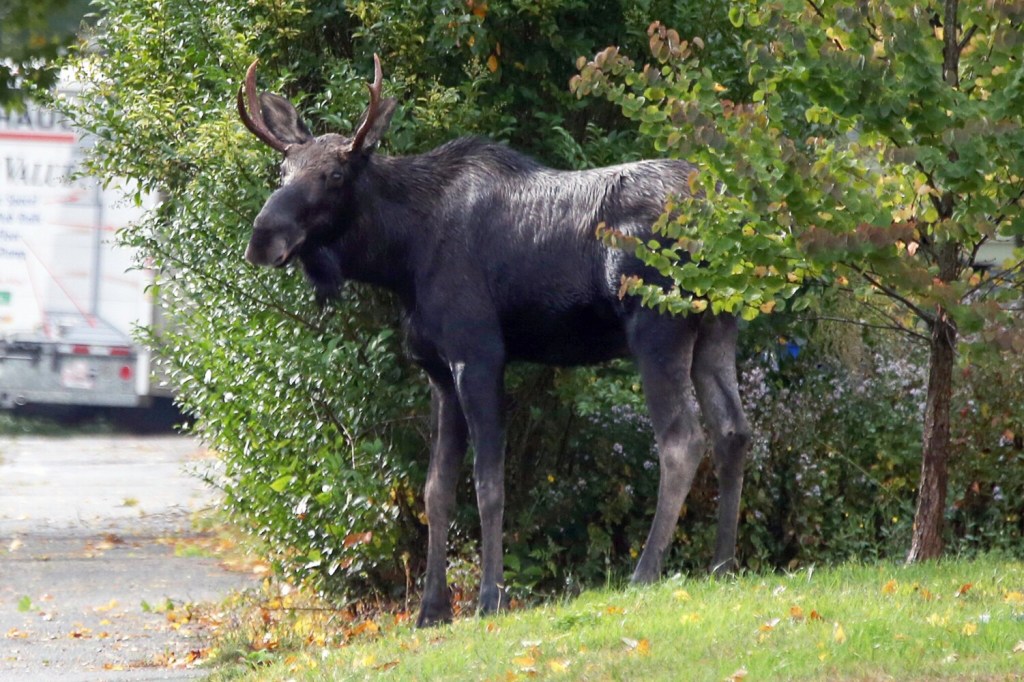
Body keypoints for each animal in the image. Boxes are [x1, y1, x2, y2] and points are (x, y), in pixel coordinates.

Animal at [237, 55, 751, 627]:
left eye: (333, 174)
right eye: (283, 171)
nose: (263, 237)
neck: (399, 256)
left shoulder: (479, 354)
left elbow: (488, 483)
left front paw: (490, 598)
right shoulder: (438, 370)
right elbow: (435, 490)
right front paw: (432, 609)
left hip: (657, 325)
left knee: (682, 440)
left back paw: (645, 574)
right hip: (718, 326)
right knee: (733, 431)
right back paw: (723, 566)